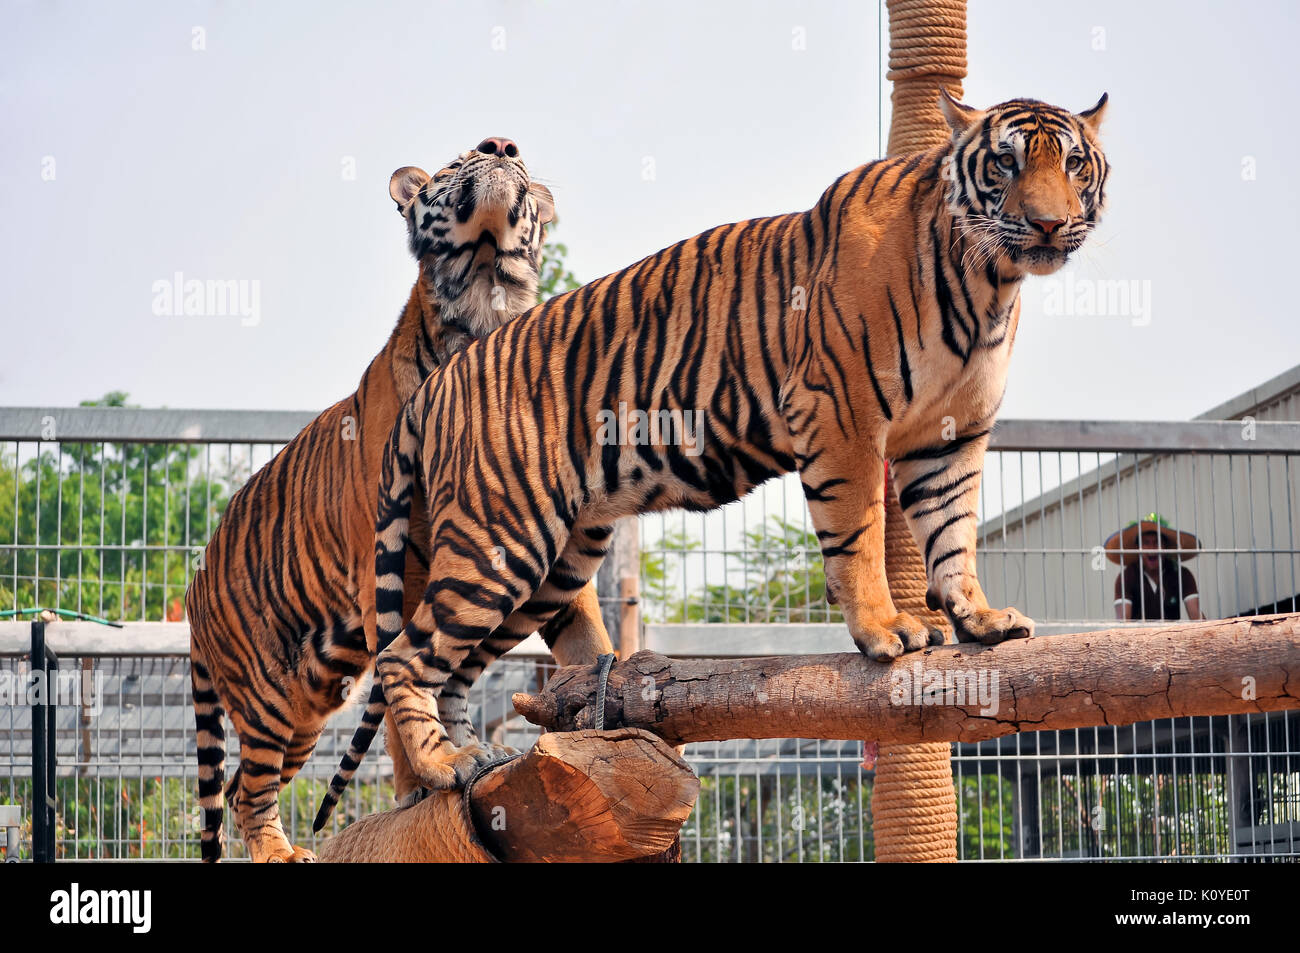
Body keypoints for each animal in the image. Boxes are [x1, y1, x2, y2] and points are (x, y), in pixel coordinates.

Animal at [186, 138, 612, 863]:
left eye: (515, 157)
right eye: (460, 157)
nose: (501, 145)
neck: (484, 302)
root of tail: (192, 582)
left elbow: (590, 639)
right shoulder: (391, 564)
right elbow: (402, 680)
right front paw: (426, 782)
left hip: (308, 699)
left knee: (244, 780)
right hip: (266, 692)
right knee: (248, 787)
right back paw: (279, 851)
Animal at [315, 92, 1110, 812]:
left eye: (1073, 163)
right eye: (1005, 162)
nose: (1048, 222)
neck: (988, 282)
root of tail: (437, 380)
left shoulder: (949, 436)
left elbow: (953, 535)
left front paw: (980, 620)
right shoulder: (841, 411)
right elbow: (860, 536)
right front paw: (888, 632)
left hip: (552, 561)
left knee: (449, 669)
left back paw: (472, 760)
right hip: (499, 538)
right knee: (403, 655)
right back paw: (440, 766)